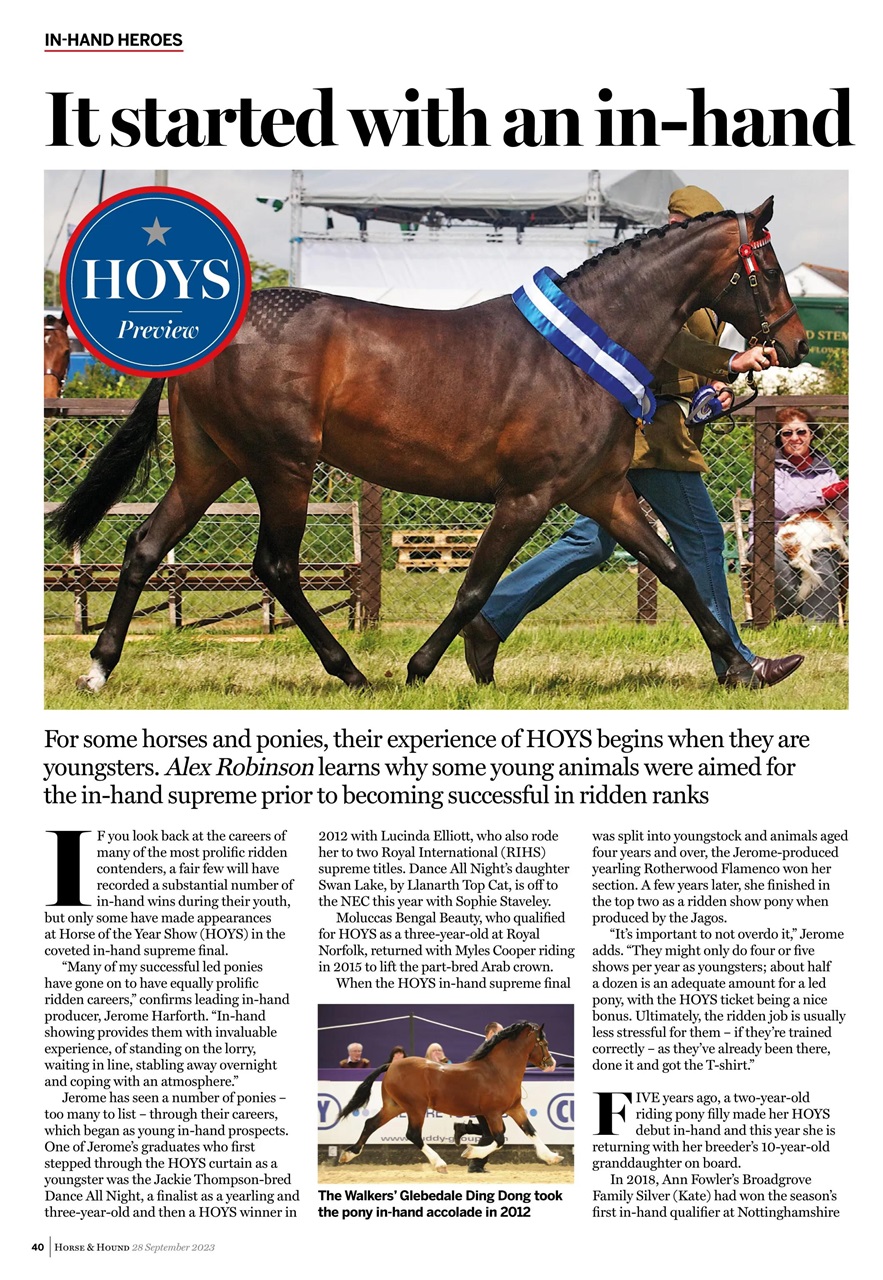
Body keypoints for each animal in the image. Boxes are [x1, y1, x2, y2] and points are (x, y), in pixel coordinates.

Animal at [47, 198, 808, 694]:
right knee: (276, 567)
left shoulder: (600, 491)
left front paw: (745, 667)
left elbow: (676, 570)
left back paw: (99, 669)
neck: (586, 343)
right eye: (768, 267)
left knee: (145, 544)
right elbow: (474, 587)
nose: (795, 344)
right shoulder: (527, 495)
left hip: (211, 464)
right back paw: (352, 672)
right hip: (282, 467)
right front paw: (425, 668)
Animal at [336, 1021, 561, 1172]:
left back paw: (348, 1154)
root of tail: (392, 1065)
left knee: (370, 1123)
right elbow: (499, 1139)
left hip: (394, 1106)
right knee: (413, 1134)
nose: (551, 1063)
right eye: (544, 1042)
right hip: (415, 1107)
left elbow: (530, 1130)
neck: (498, 1071)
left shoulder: (514, 1108)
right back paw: (440, 1164)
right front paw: (470, 1152)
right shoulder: (493, 1113)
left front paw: (552, 1157)